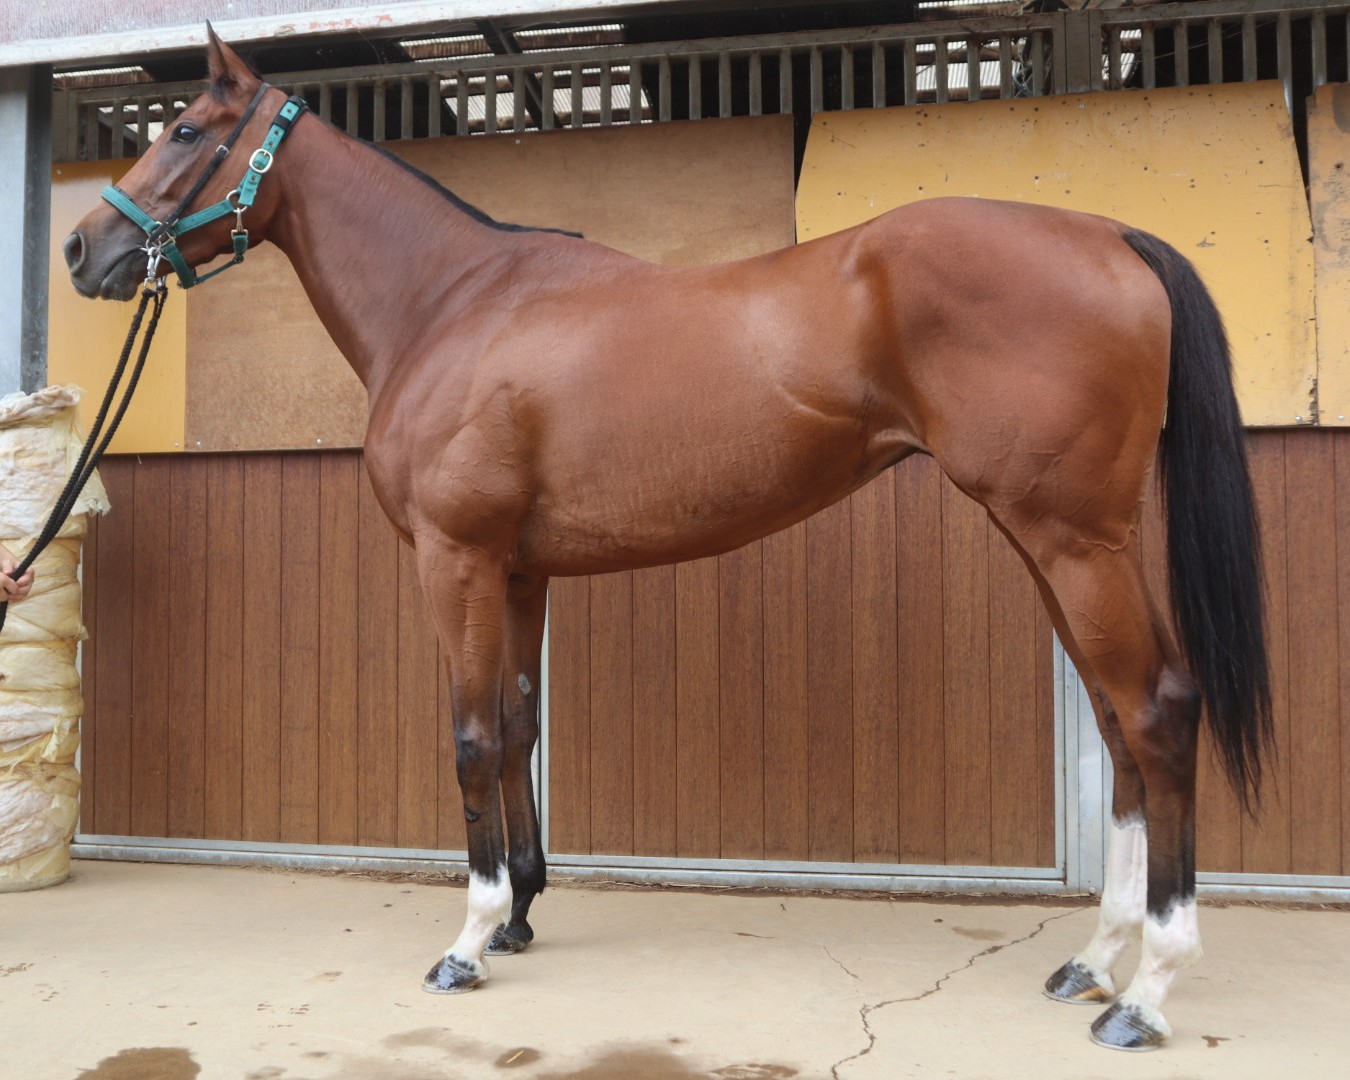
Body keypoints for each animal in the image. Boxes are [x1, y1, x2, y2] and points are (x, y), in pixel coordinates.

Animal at [64, 29, 1270, 1052]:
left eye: (184, 131)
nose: (83, 248)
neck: (452, 305)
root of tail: (1109, 235)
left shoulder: (456, 558)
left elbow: (469, 737)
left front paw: (469, 940)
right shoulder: (520, 569)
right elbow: (518, 725)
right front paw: (520, 915)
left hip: (1073, 540)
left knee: (1158, 713)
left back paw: (1146, 992)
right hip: (1049, 543)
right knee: (1118, 725)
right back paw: (1096, 960)